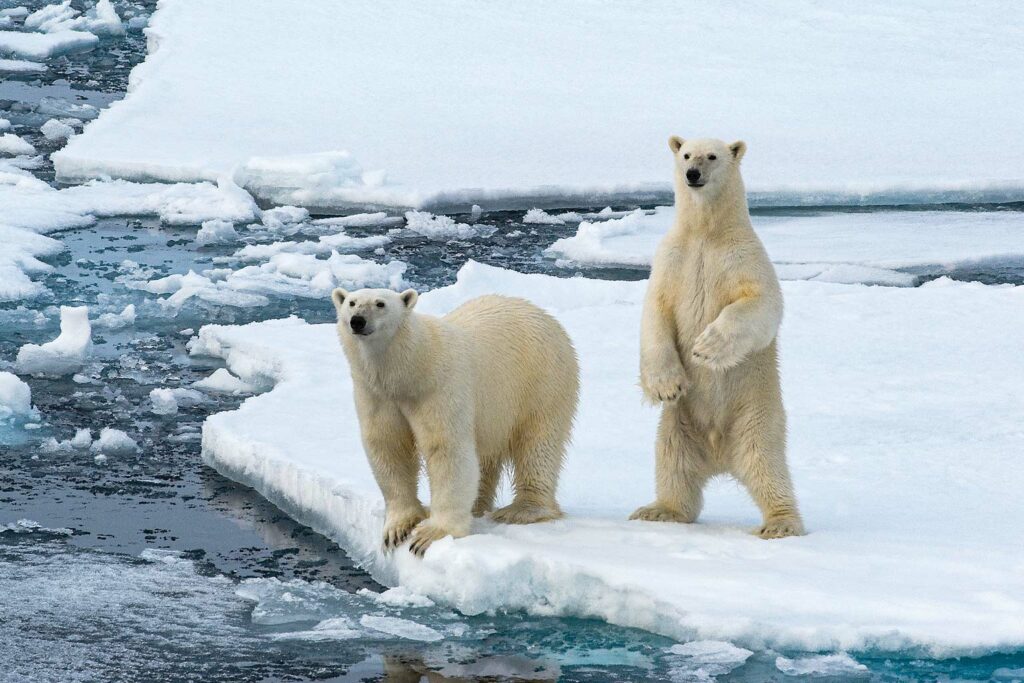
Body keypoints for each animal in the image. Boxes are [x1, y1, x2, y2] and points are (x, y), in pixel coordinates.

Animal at [332, 287, 580, 556]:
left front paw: (430, 534)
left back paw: (522, 510)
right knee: (485, 457)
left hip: (541, 381)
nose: (357, 321)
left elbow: (446, 449)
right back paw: (477, 506)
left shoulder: (440, 388)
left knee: (538, 443)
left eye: (380, 304)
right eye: (351, 302)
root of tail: (544, 315)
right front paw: (398, 528)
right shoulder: (376, 395)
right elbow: (389, 447)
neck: (411, 368)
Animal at [629, 136, 805, 539]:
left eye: (712, 156)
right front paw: (666, 385)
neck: (706, 234)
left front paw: (707, 347)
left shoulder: (744, 257)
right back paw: (659, 510)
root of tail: (719, 456)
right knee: (672, 465)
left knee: (767, 467)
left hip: (756, 417)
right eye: (685, 154)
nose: (693, 173)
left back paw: (780, 523)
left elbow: (762, 303)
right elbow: (655, 313)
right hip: (678, 426)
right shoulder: (671, 259)